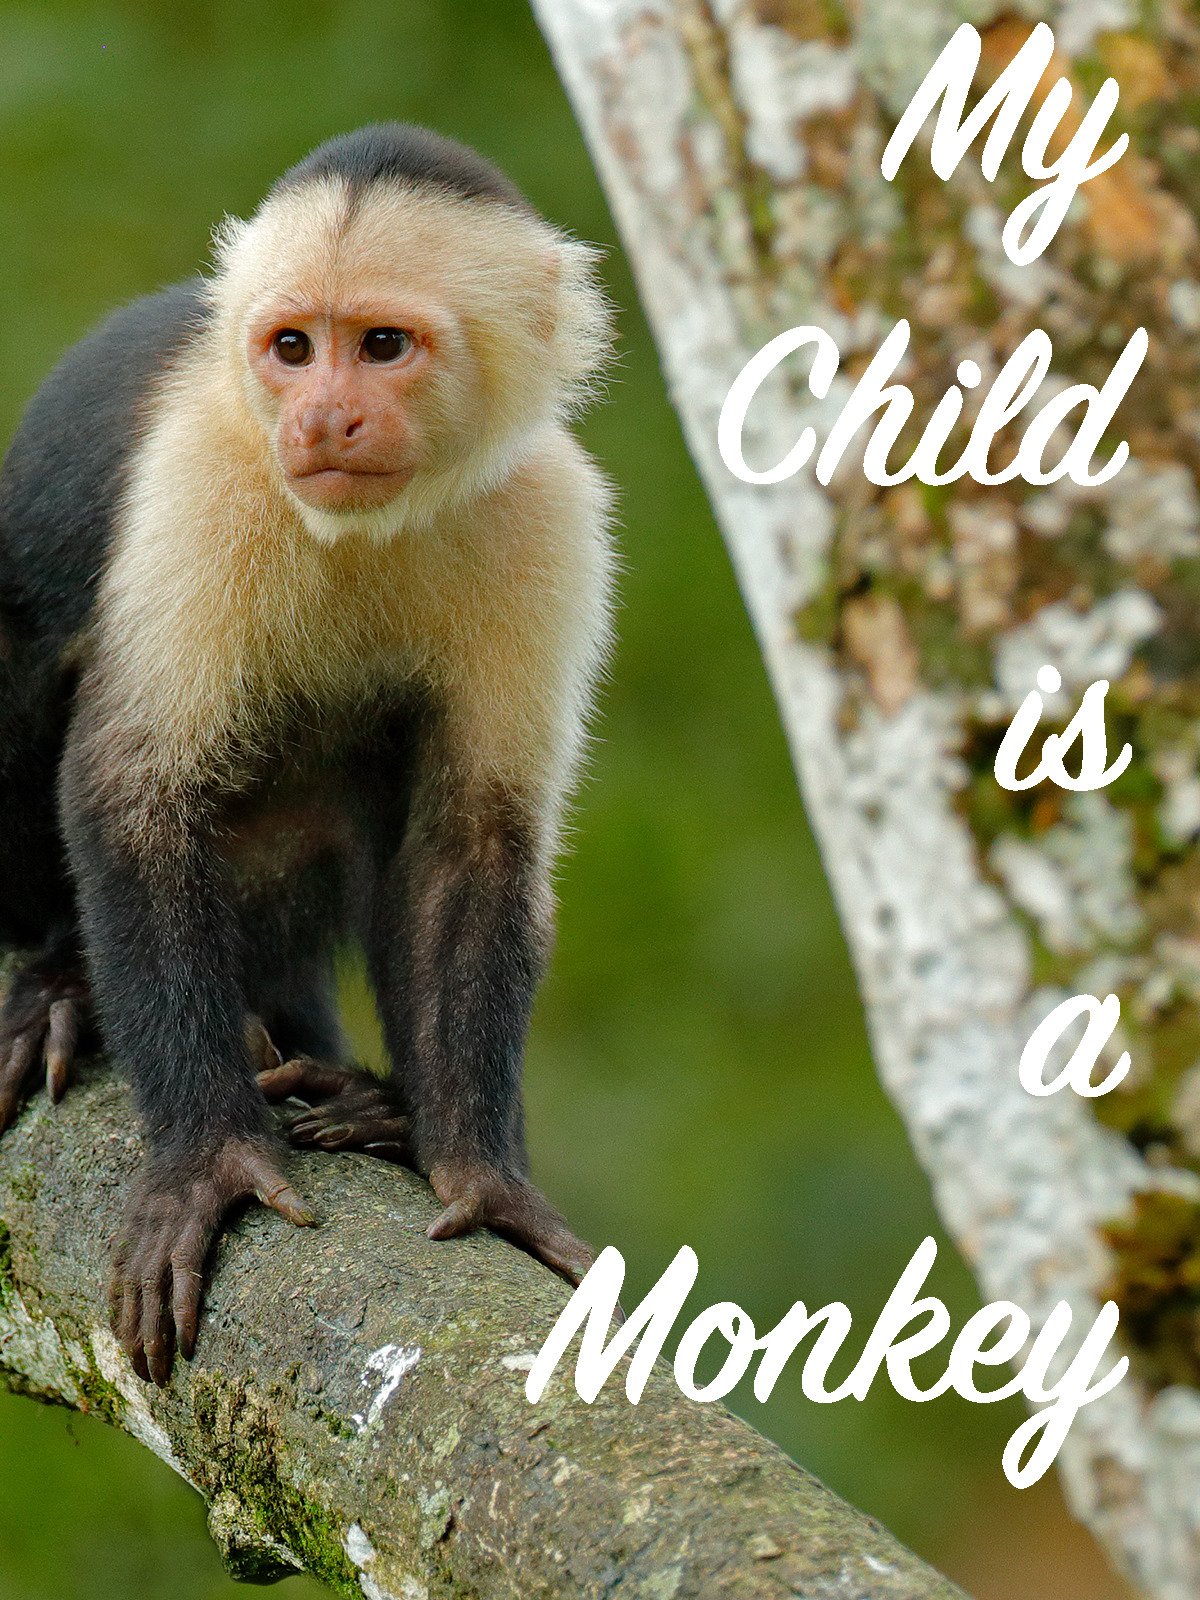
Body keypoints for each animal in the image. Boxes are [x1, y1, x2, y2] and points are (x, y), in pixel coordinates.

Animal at [0, 124, 615, 1385]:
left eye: (380, 345)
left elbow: (471, 838)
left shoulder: (548, 514)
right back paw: (64, 981)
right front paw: (208, 1156)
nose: (323, 417)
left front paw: (480, 1168)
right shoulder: (203, 476)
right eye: (293, 348)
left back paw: (378, 1102)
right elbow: (133, 786)